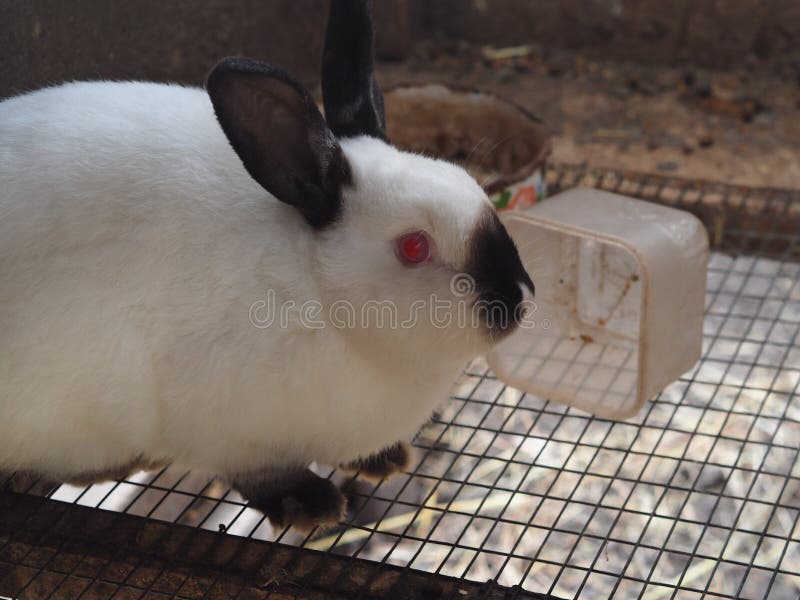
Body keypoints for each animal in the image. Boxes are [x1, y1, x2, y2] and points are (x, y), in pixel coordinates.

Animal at [0, 0, 534, 531]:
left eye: (472, 184)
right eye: (414, 247)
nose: (520, 300)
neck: (319, 289)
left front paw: (384, 458)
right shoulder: (227, 434)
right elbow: (258, 476)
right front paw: (311, 505)